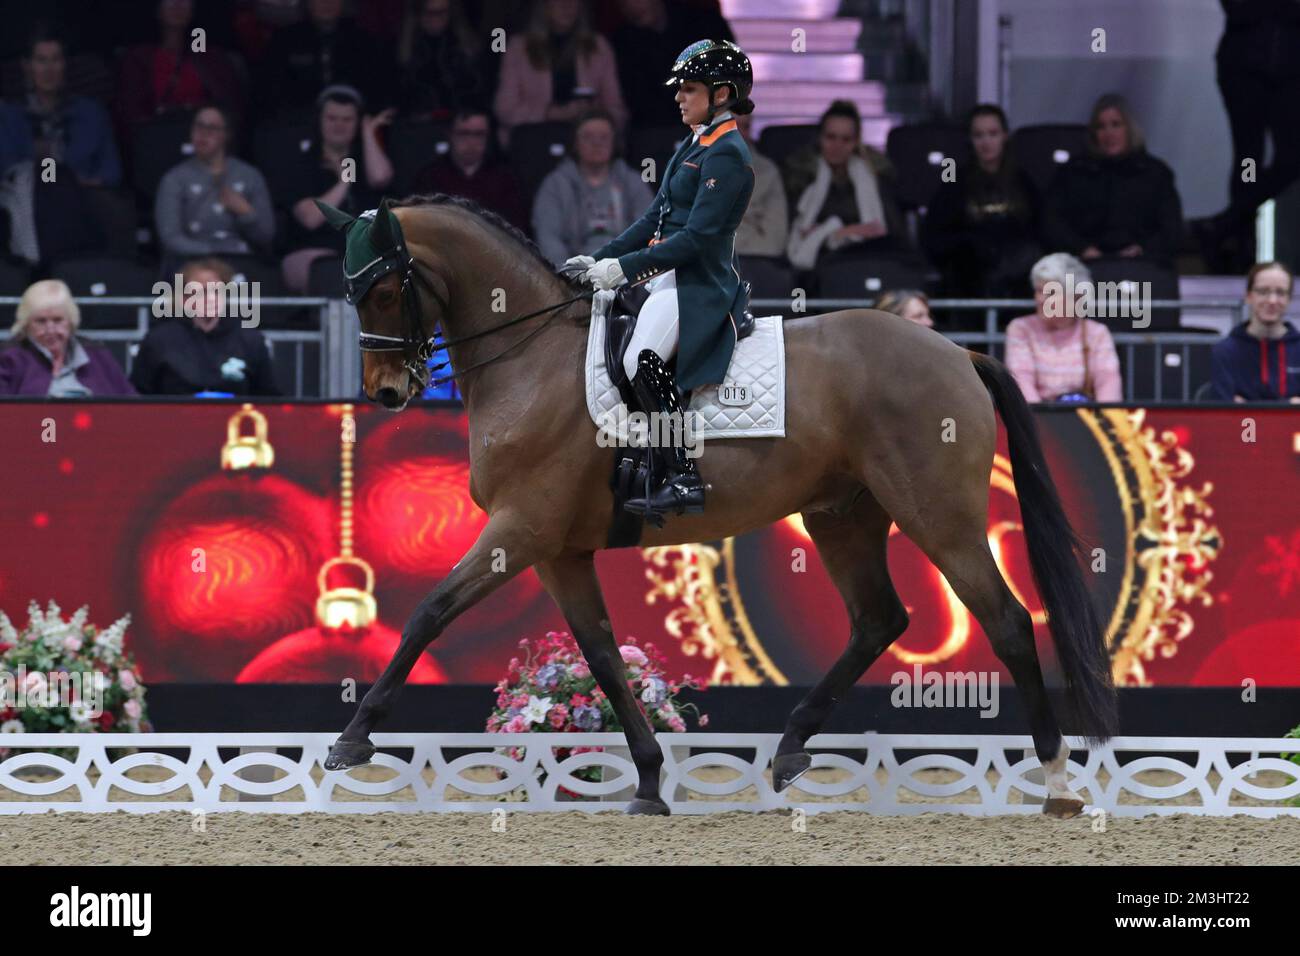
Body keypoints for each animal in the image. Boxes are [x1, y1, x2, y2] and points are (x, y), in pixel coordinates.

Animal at [322, 194, 1118, 817]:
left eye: (384, 290)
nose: (386, 392)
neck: (531, 356)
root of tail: (958, 352)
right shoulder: (560, 549)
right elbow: (602, 655)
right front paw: (647, 782)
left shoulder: (520, 530)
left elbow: (429, 613)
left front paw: (352, 740)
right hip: (843, 514)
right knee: (878, 619)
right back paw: (790, 749)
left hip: (938, 514)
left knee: (1006, 620)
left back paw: (1056, 782)